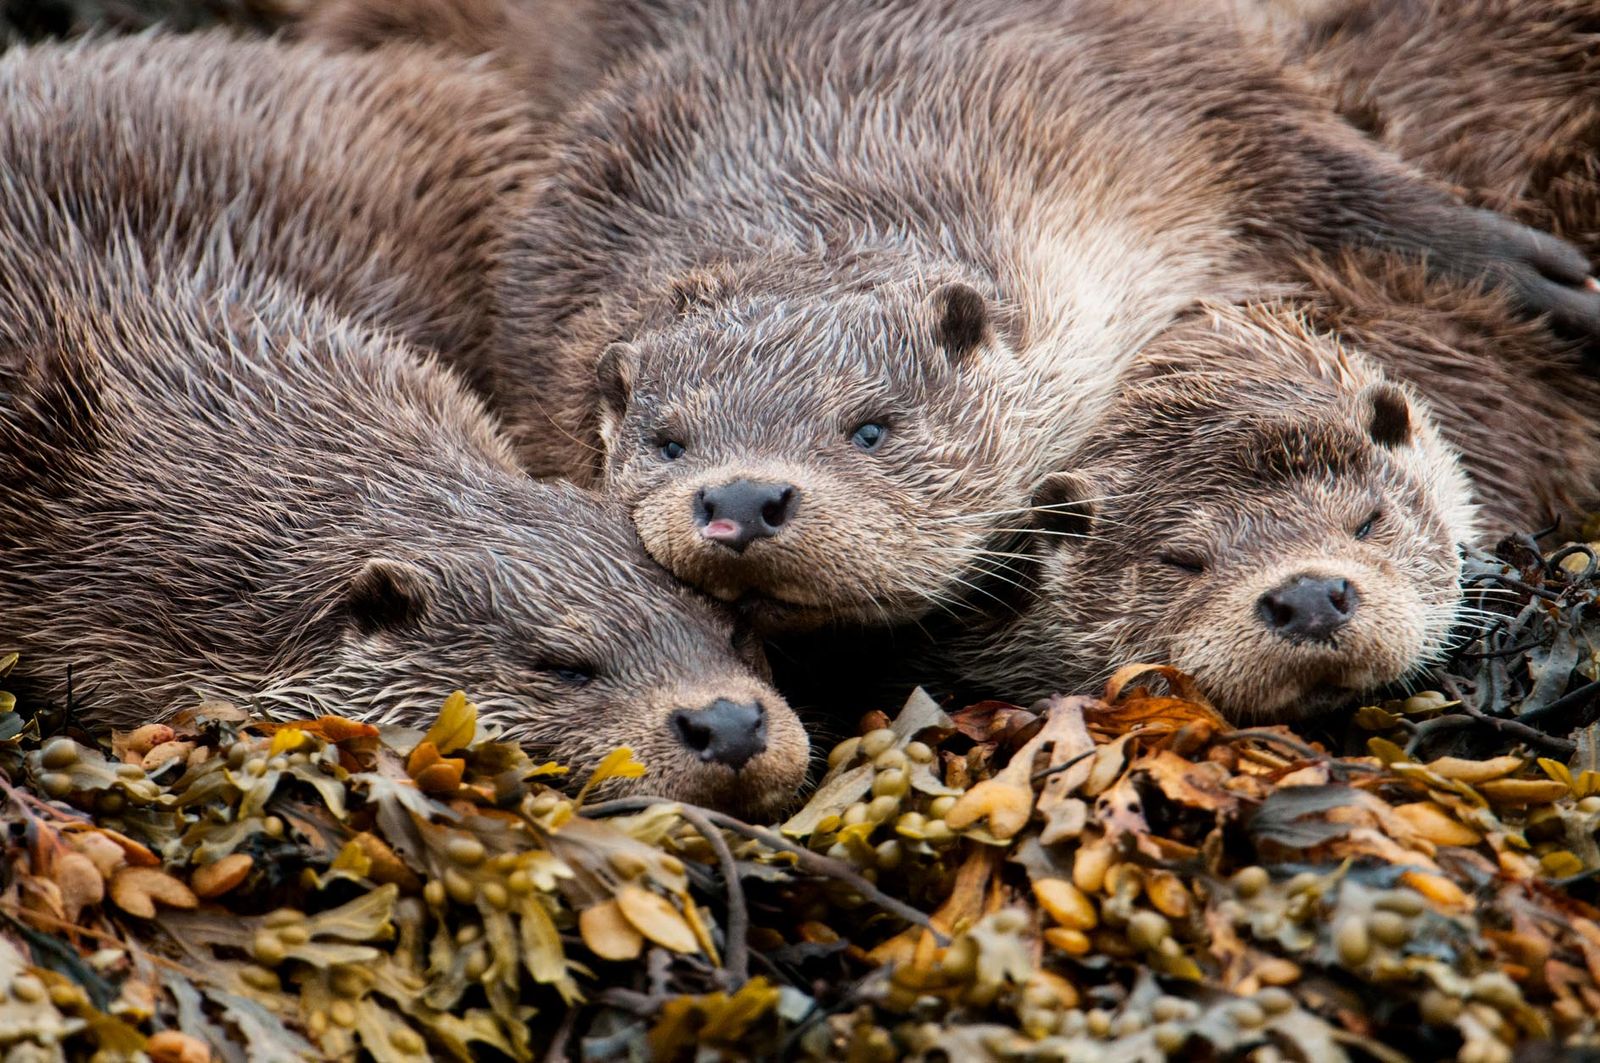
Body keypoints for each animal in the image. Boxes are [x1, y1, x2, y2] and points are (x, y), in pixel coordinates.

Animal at [480, 0, 1600, 636]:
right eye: (667, 443)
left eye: (872, 426)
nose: (743, 500)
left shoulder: (1150, 81)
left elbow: (1339, 180)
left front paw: (1541, 275)